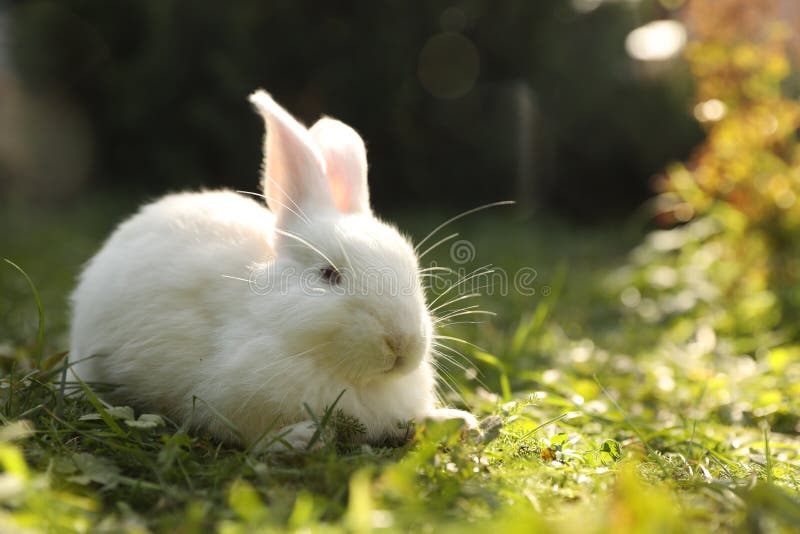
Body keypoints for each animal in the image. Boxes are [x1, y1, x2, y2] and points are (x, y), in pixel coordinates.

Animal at [69, 90, 477, 450]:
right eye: (328, 275)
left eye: (411, 270)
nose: (401, 343)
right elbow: (252, 434)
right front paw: (301, 439)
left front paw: (456, 421)